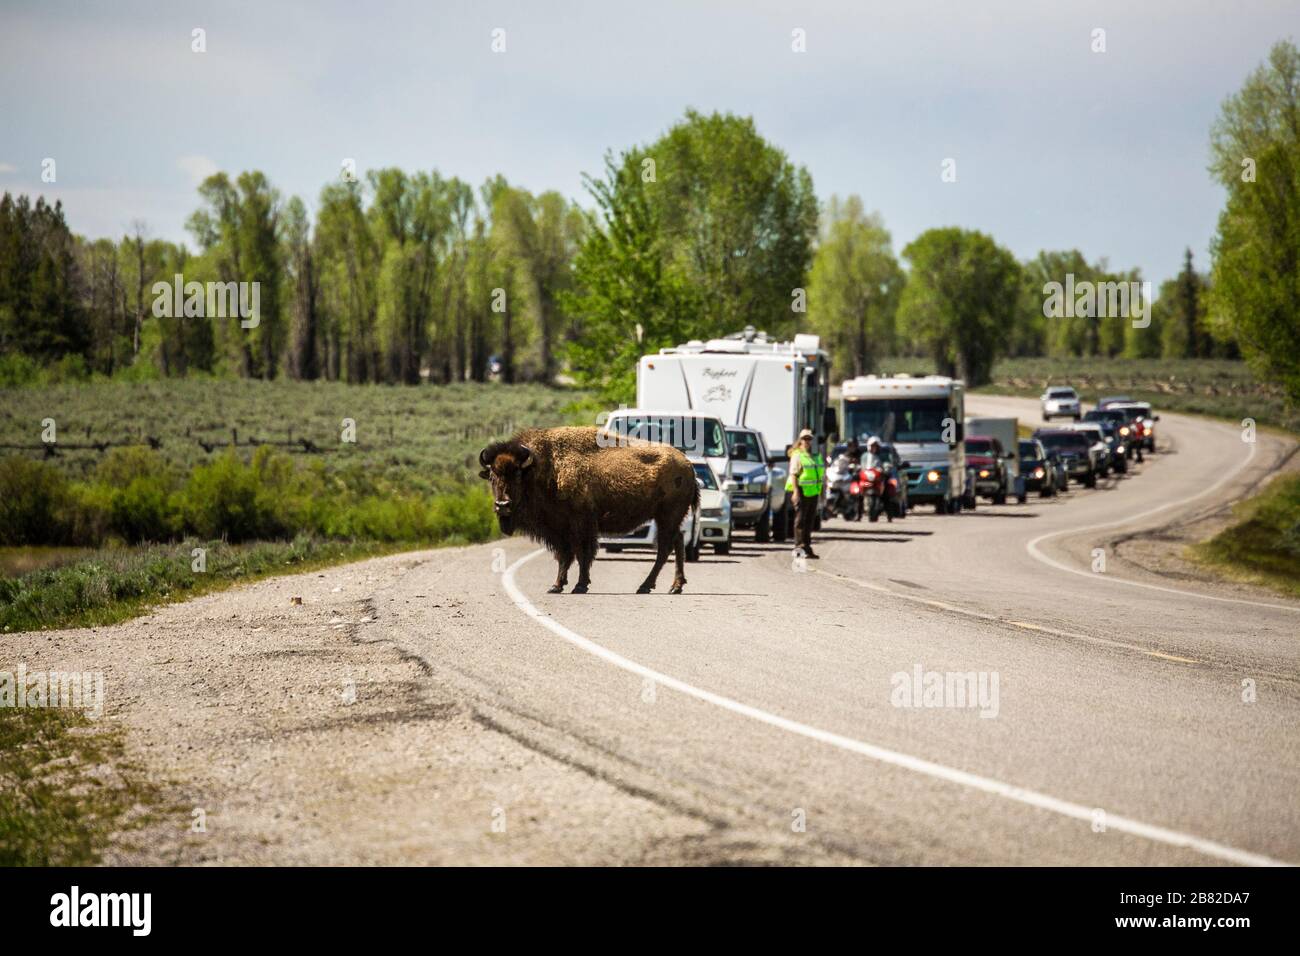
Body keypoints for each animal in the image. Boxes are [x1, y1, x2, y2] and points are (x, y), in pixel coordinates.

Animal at [478, 426, 700, 594]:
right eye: (492, 476)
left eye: (517, 474)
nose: (502, 505)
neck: (545, 469)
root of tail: (688, 465)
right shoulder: (560, 529)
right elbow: (565, 555)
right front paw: (556, 586)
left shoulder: (580, 525)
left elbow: (581, 553)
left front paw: (579, 585)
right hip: (670, 519)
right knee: (678, 542)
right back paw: (675, 587)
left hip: (667, 516)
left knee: (665, 548)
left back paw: (646, 586)